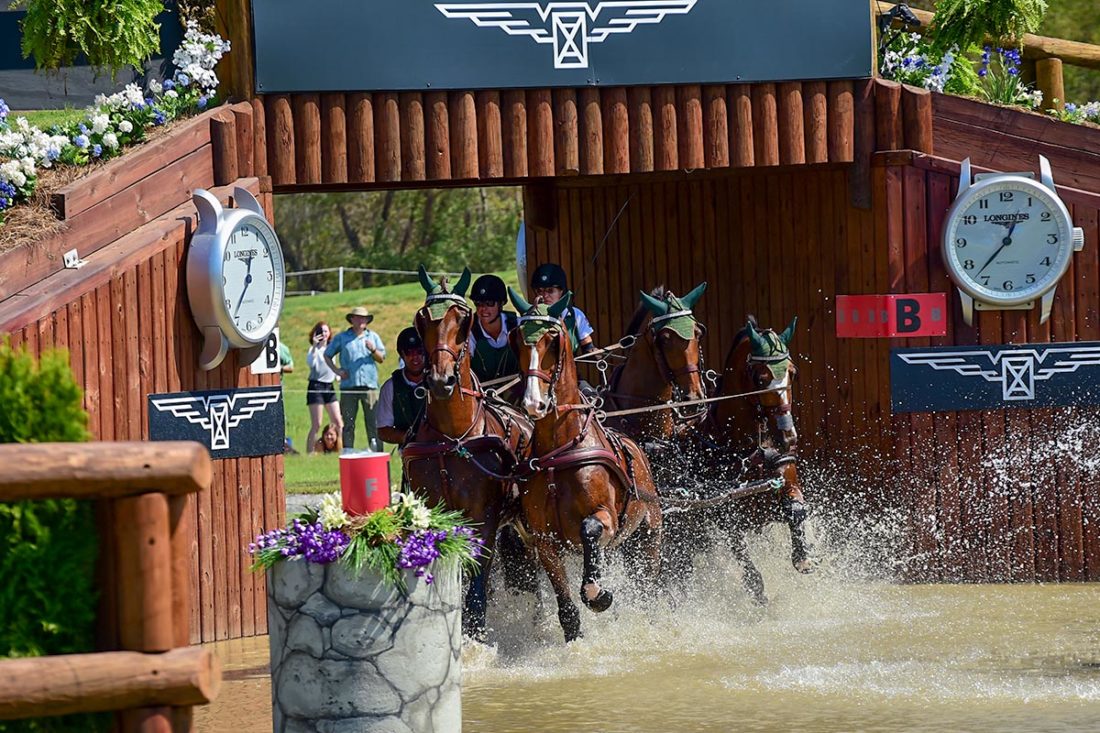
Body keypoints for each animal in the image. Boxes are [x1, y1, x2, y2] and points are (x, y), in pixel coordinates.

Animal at [402, 266, 535, 640]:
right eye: (421, 320)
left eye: (463, 320)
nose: (440, 380)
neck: (454, 438)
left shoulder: (484, 518)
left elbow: (476, 589)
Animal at [508, 288, 663, 642]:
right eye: (516, 339)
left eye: (552, 339)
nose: (533, 403)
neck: (560, 449)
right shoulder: (545, 541)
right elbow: (567, 610)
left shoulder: (605, 518)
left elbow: (590, 528)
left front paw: (597, 593)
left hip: (649, 536)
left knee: (649, 589)